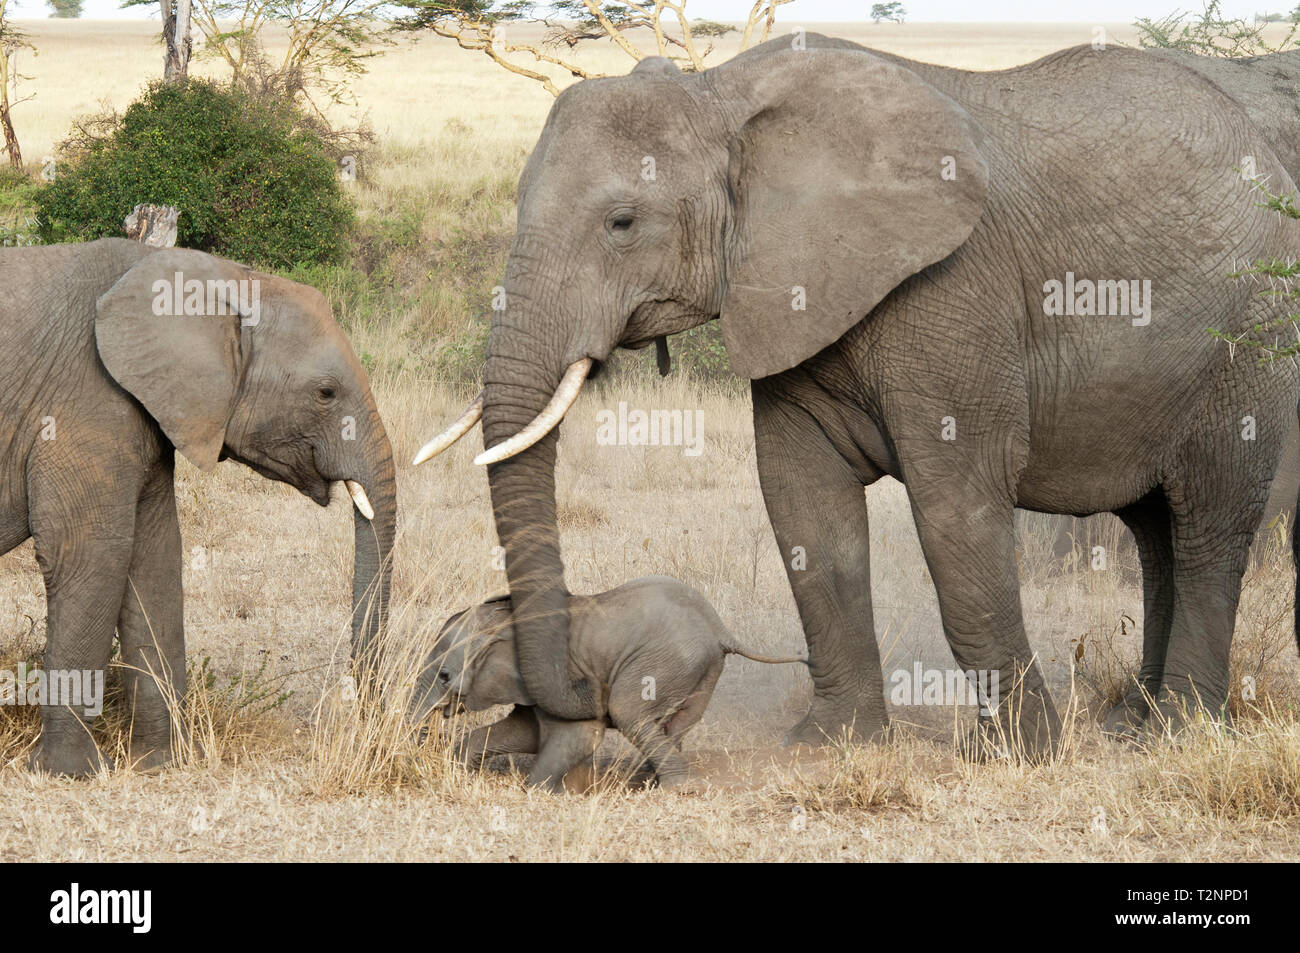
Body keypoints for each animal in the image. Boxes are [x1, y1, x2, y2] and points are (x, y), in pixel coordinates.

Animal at [0, 238, 397, 775]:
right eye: (325, 393)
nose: (362, 715)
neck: (219, 280)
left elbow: (155, 560)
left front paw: (160, 764)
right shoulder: (81, 405)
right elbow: (89, 554)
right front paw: (71, 772)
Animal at [413, 576, 804, 791]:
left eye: (444, 676)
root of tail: (720, 629)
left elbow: (578, 733)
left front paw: (543, 790)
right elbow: (522, 731)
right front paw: (459, 766)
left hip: (667, 660)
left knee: (629, 710)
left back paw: (674, 788)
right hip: (701, 667)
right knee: (677, 721)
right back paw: (654, 778)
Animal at [414, 35, 1300, 755]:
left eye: (623, 222)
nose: (570, 696)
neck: (720, 95)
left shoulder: (954, 293)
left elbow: (956, 512)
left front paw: (1028, 753)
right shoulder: (790, 291)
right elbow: (803, 507)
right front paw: (831, 743)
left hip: (1251, 333)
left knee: (1209, 525)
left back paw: (1179, 733)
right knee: (1155, 531)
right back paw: (1132, 724)